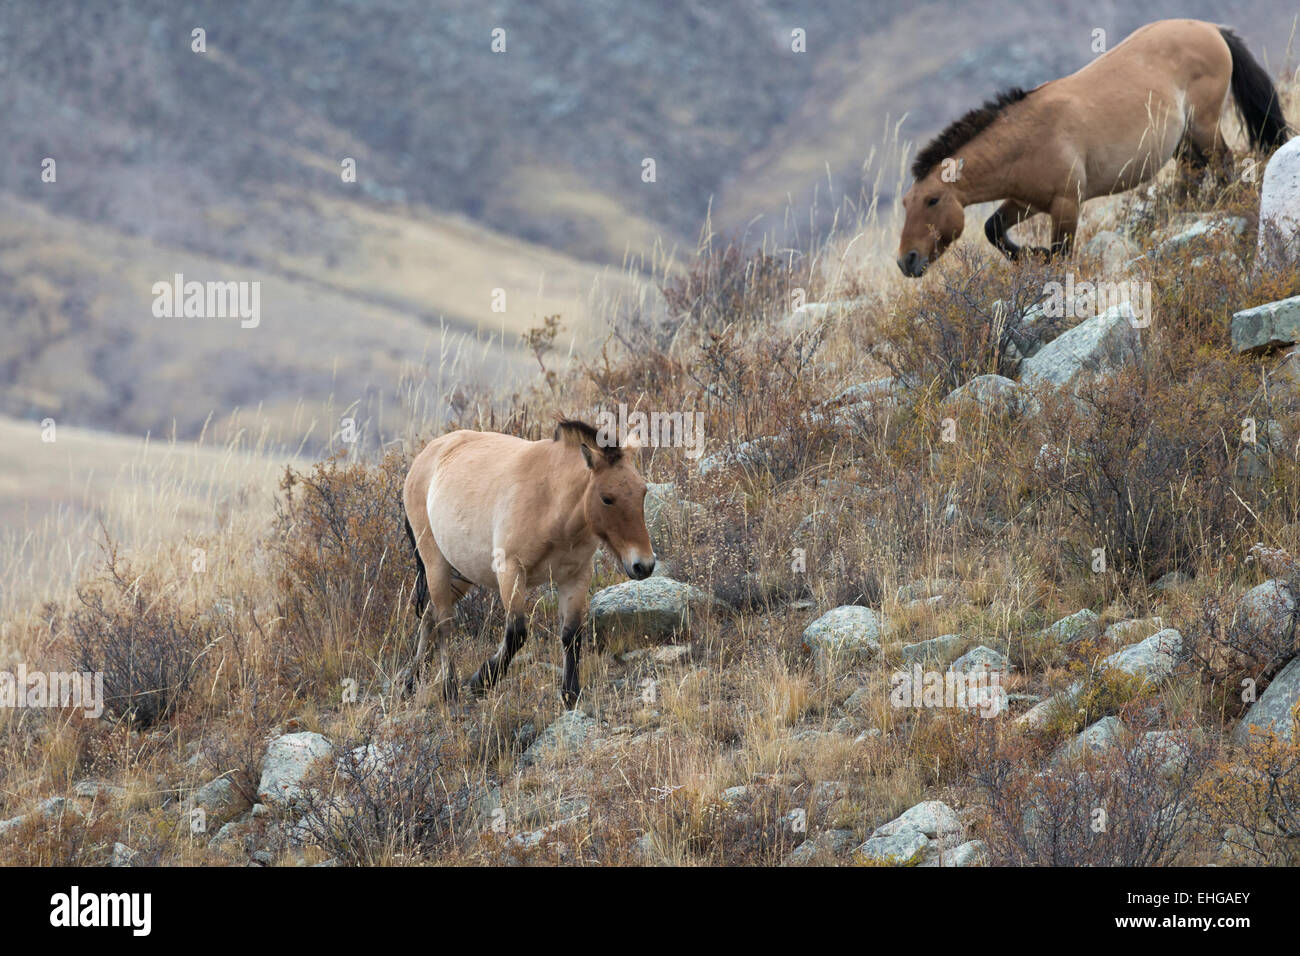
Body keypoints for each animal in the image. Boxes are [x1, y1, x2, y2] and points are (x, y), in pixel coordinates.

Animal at [402, 419, 655, 708]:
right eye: (607, 498)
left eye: (643, 492)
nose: (644, 565)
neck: (551, 501)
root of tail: (424, 458)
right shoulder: (510, 571)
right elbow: (517, 633)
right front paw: (481, 681)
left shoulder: (576, 575)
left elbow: (571, 634)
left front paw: (570, 695)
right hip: (436, 563)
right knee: (444, 622)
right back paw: (450, 689)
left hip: (461, 573)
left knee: (429, 615)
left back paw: (412, 682)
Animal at [896, 19, 1291, 277]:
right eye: (906, 204)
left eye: (932, 200)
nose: (906, 261)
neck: (1027, 138)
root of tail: (1211, 28)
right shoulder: (1026, 201)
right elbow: (993, 229)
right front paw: (1030, 254)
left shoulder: (1066, 204)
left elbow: (1061, 254)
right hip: (1182, 140)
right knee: (1193, 172)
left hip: (1204, 124)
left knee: (1223, 162)